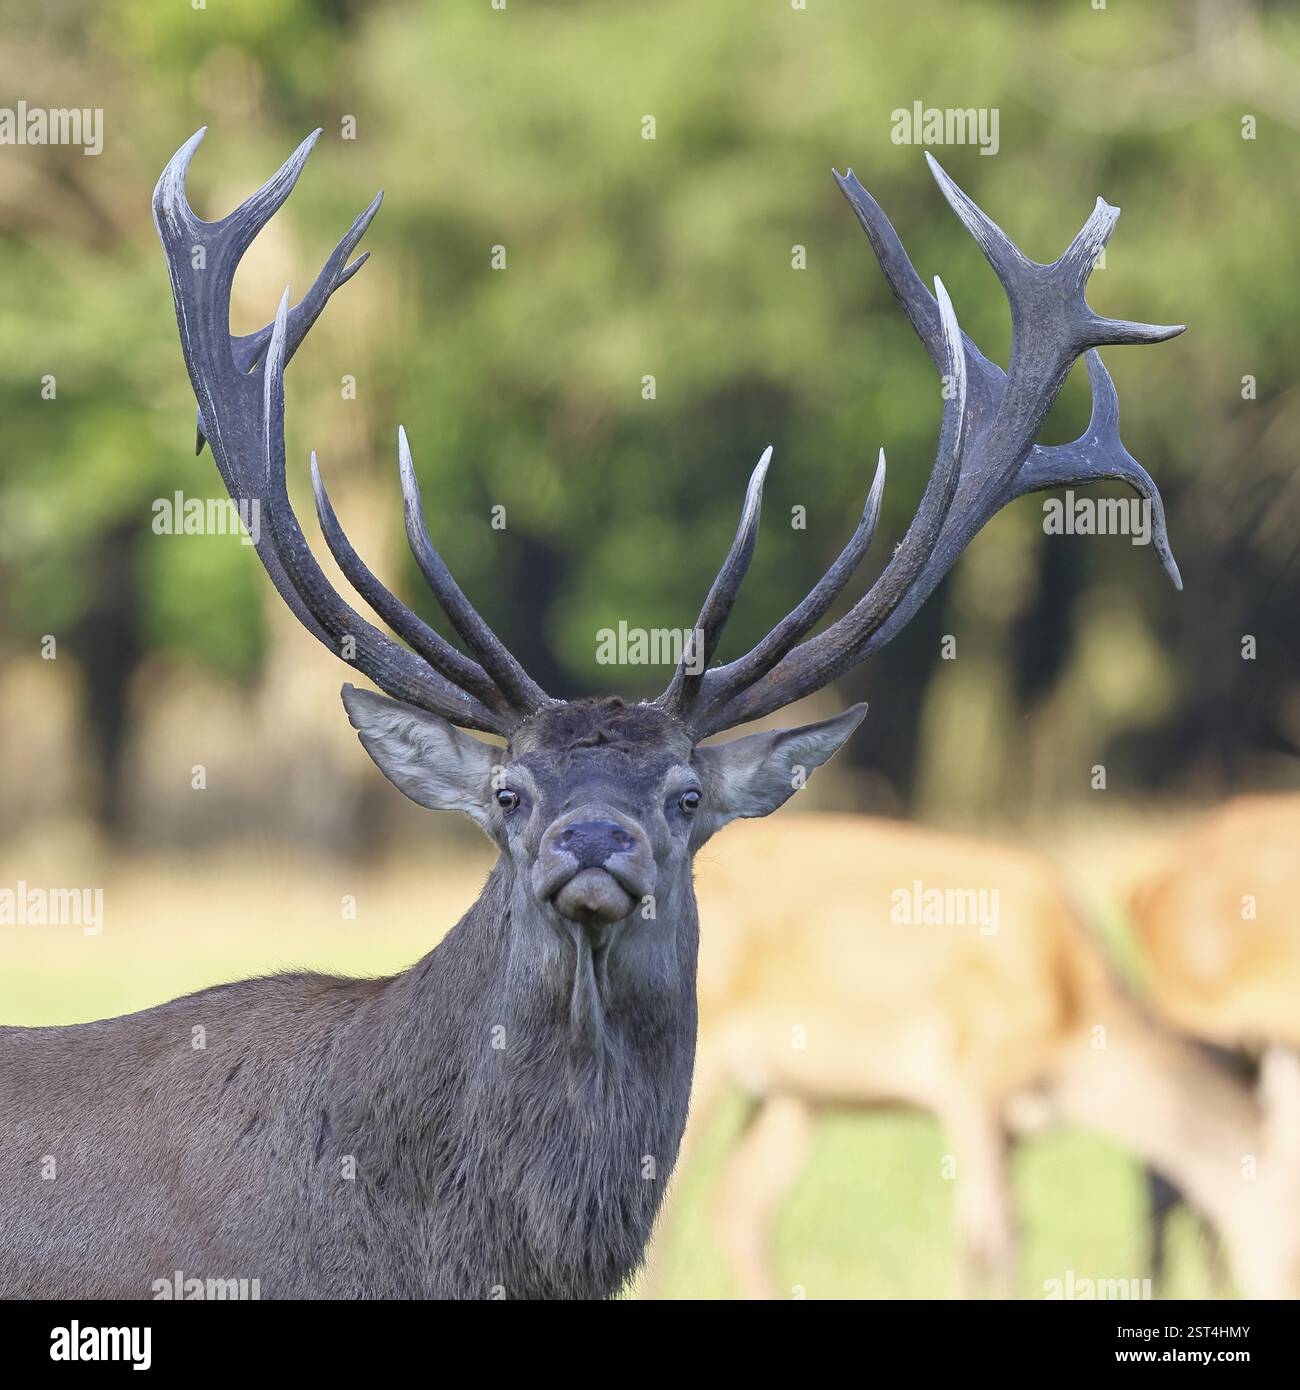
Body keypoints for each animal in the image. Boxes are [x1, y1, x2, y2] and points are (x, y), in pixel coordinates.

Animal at [643, 814, 1300, 1300]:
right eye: (1295, 1247)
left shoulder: (1012, 1120)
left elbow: (994, 1228)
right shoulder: (970, 1075)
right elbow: (994, 1230)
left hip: (796, 1093)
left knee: (738, 1207)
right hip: (704, 1053)